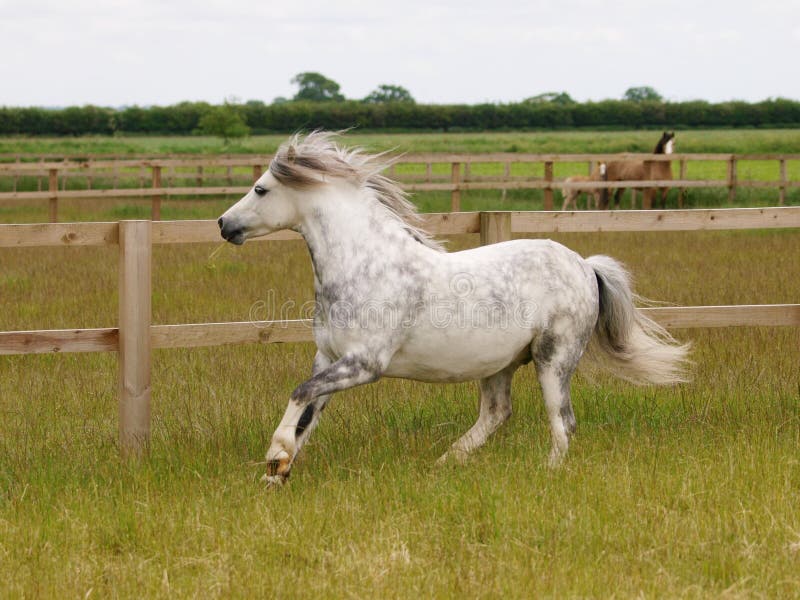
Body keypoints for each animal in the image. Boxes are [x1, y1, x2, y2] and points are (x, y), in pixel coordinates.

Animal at [217, 131, 690, 486]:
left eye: (261, 188)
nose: (223, 224)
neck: (365, 265)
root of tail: (585, 265)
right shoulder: (328, 357)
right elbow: (307, 412)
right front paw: (277, 472)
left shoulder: (364, 364)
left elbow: (300, 394)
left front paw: (276, 455)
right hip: (500, 363)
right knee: (497, 413)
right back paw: (446, 463)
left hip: (553, 358)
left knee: (562, 421)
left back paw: (545, 472)